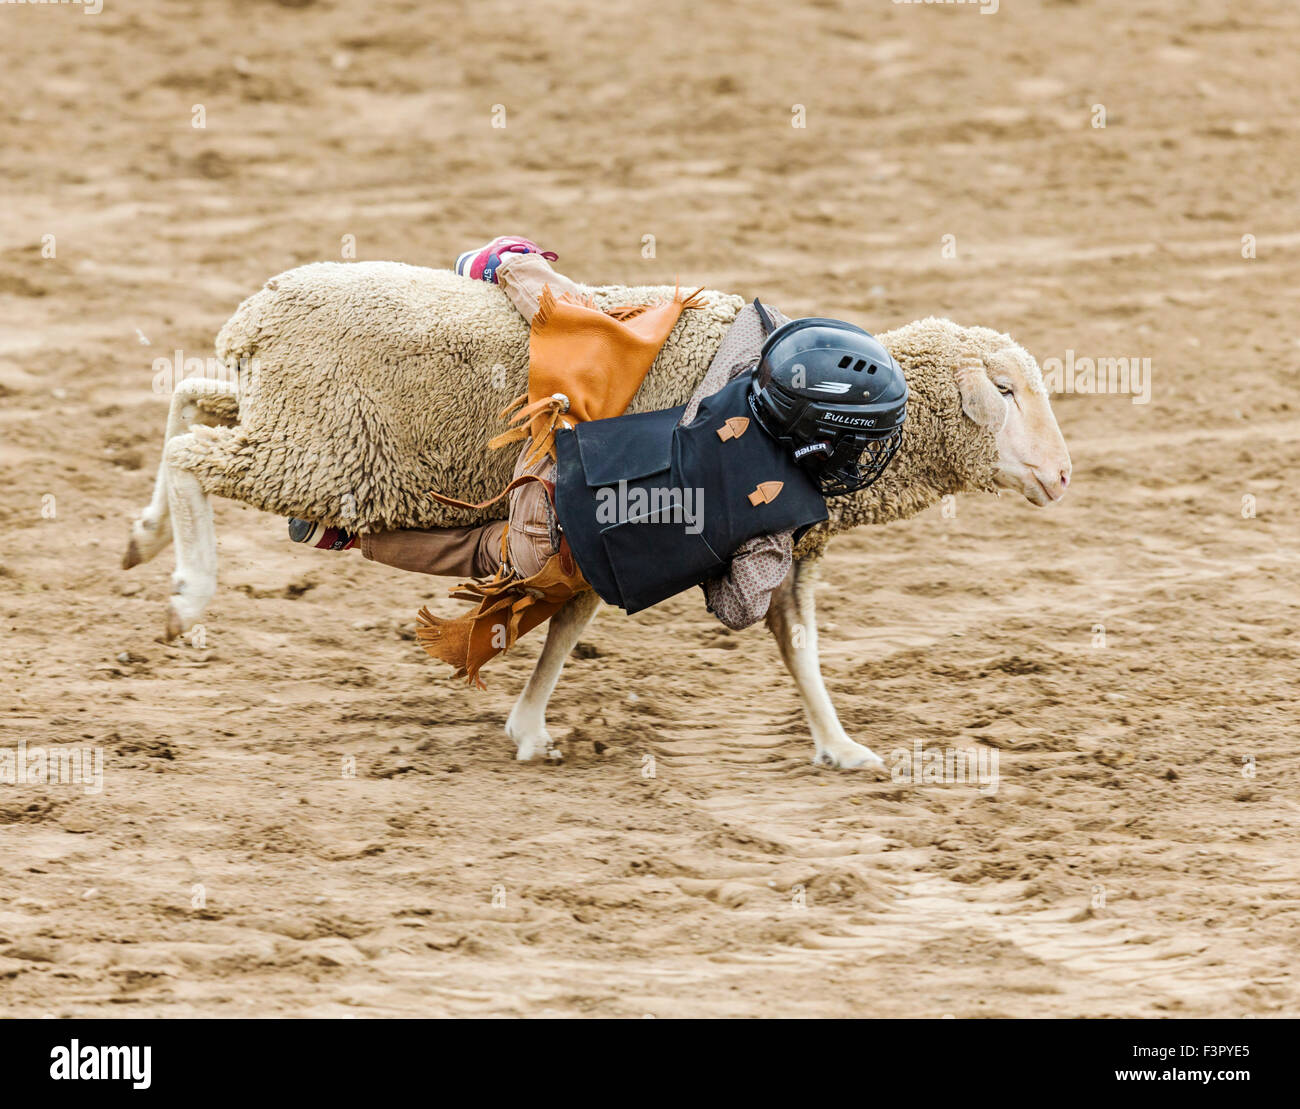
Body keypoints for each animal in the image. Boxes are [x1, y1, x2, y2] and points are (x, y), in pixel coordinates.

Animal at [124, 261, 1071, 769]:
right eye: (1003, 389)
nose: (1063, 475)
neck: (763, 405)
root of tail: (257, 315)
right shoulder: (625, 524)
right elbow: (573, 619)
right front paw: (530, 728)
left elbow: (793, 649)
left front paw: (840, 746)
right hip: (321, 454)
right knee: (194, 454)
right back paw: (187, 589)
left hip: (290, 424)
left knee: (188, 402)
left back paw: (143, 537)